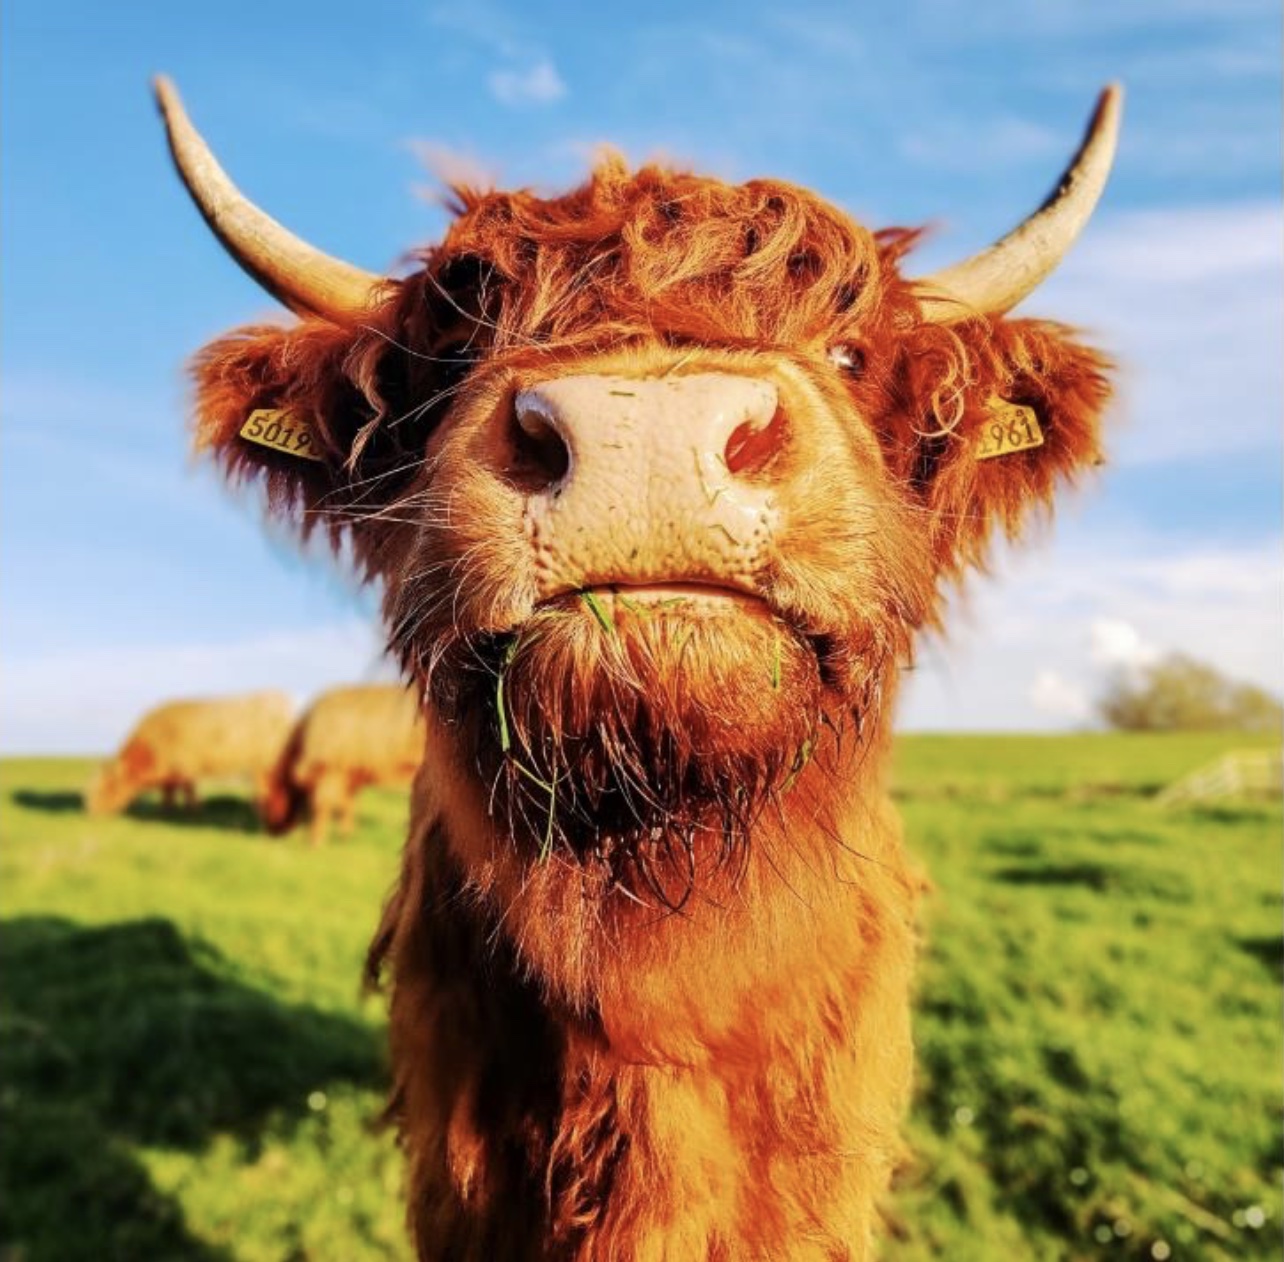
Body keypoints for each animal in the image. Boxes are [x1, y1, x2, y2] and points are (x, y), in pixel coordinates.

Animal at [86, 690, 294, 817]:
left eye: (107, 787)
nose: (91, 812)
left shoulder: (185, 767)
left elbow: (187, 790)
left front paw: (192, 812)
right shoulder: (170, 772)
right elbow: (169, 791)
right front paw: (166, 811)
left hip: (264, 763)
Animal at [259, 683, 427, 846]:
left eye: (267, 800)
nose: (270, 833)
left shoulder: (329, 768)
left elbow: (322, 804)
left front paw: (315, 841)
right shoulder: (350, 773)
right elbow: (348, 804)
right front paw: (346, 835)